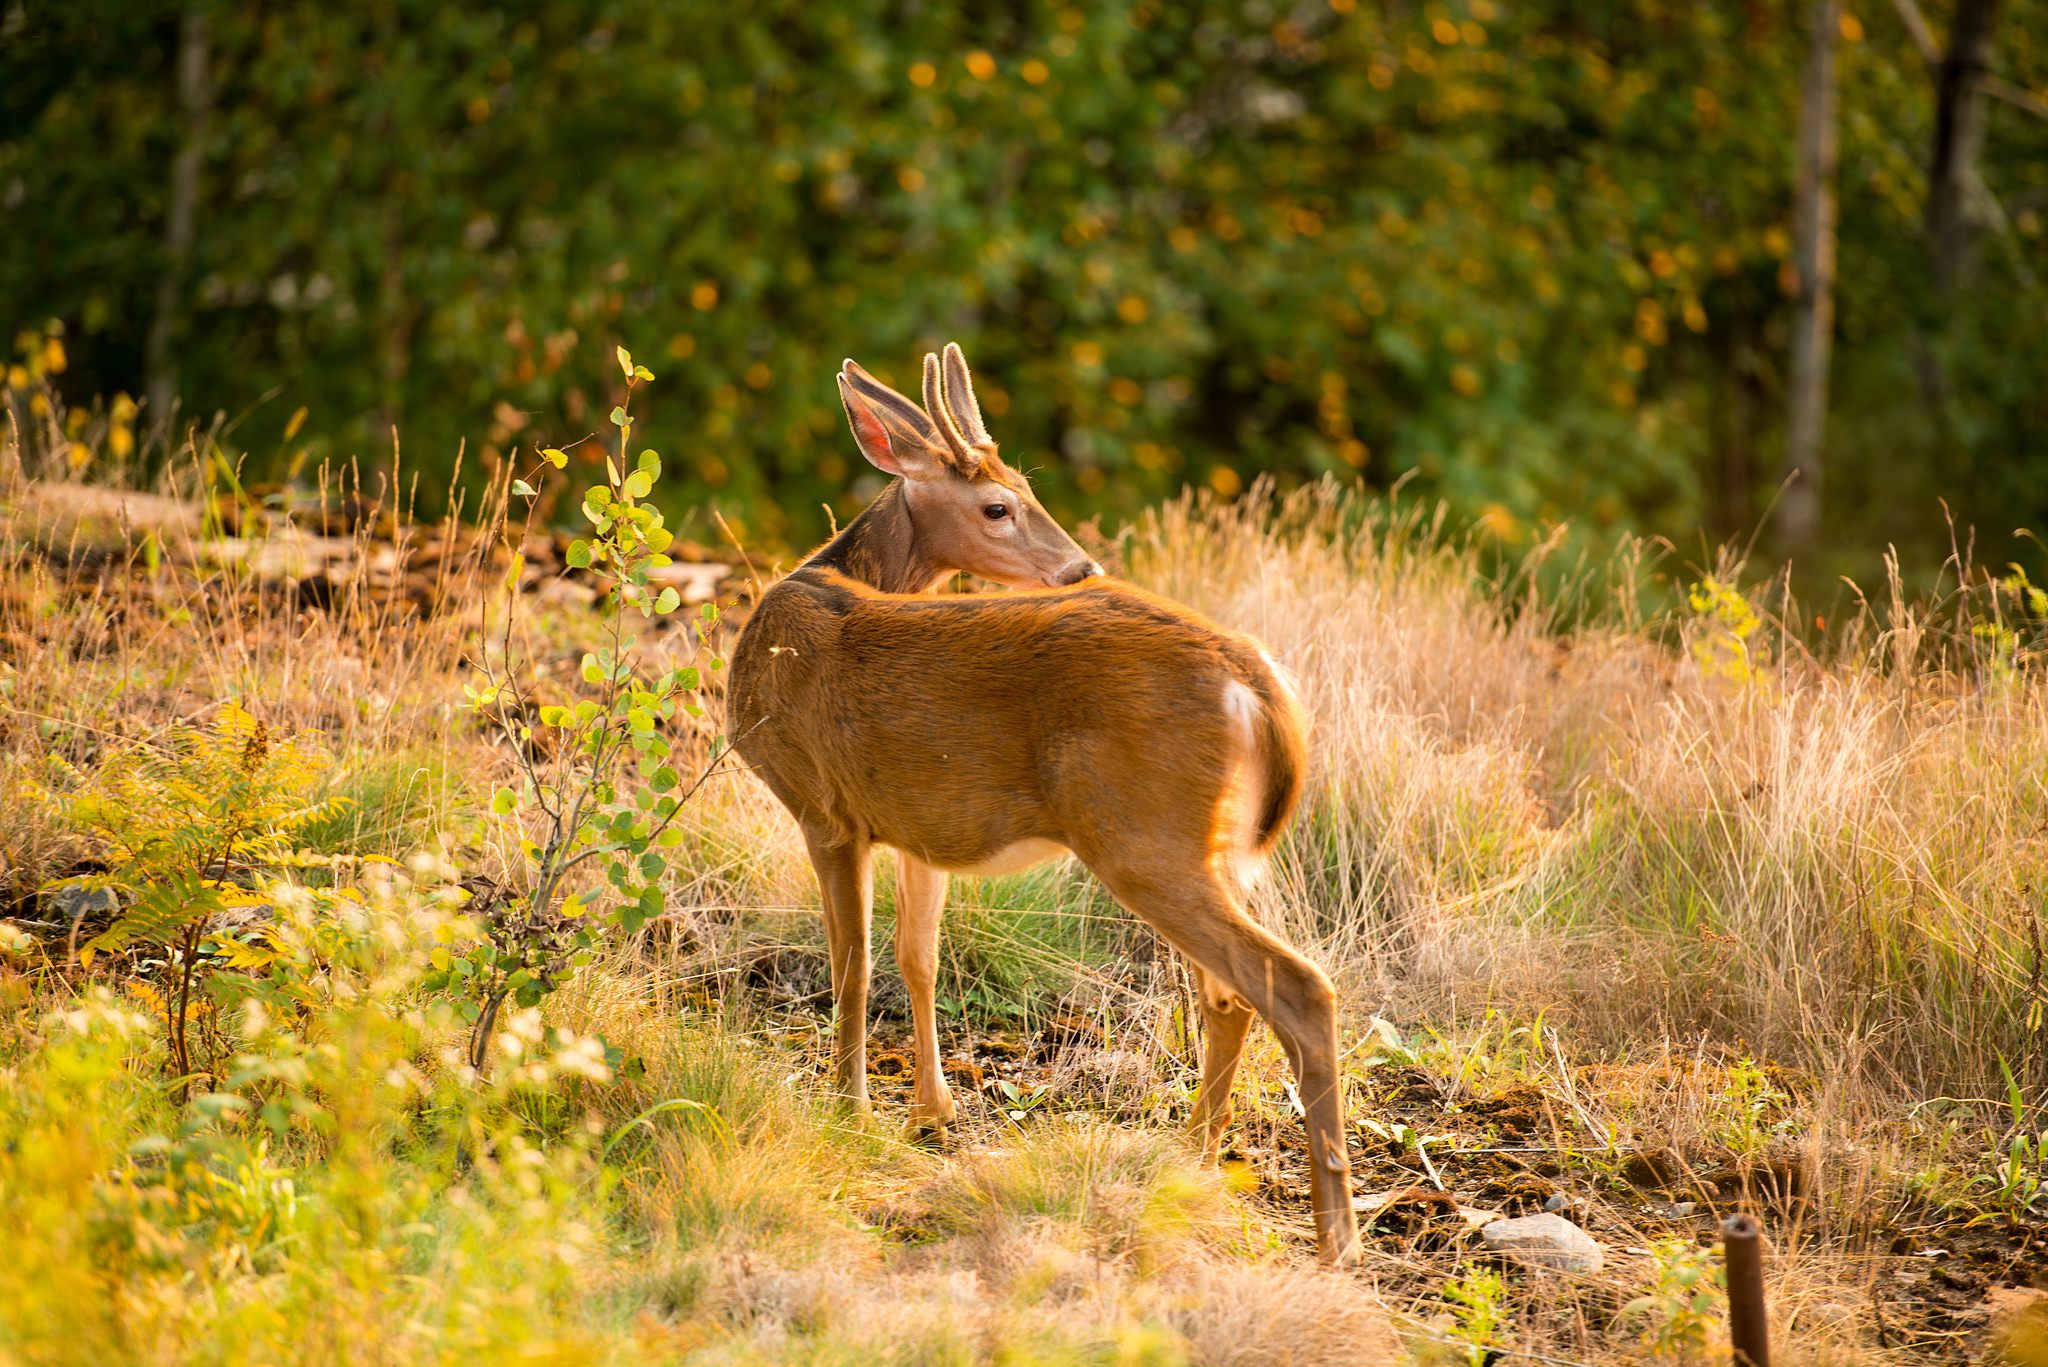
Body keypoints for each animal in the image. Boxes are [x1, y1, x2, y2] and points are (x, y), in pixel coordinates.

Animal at [725, 344, 1360, 1265]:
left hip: (1141, 835)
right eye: (1000, 501)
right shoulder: (917, 827)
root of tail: (1258, 682)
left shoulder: (824, 807)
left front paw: (848, 1113)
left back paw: (1334, 1232)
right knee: (1229, 994)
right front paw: (930, 1112)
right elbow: (917, 958)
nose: (1080, 567)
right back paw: (1191, 1157)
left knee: (1295, 986)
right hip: (1214, 846)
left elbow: (853, 965)